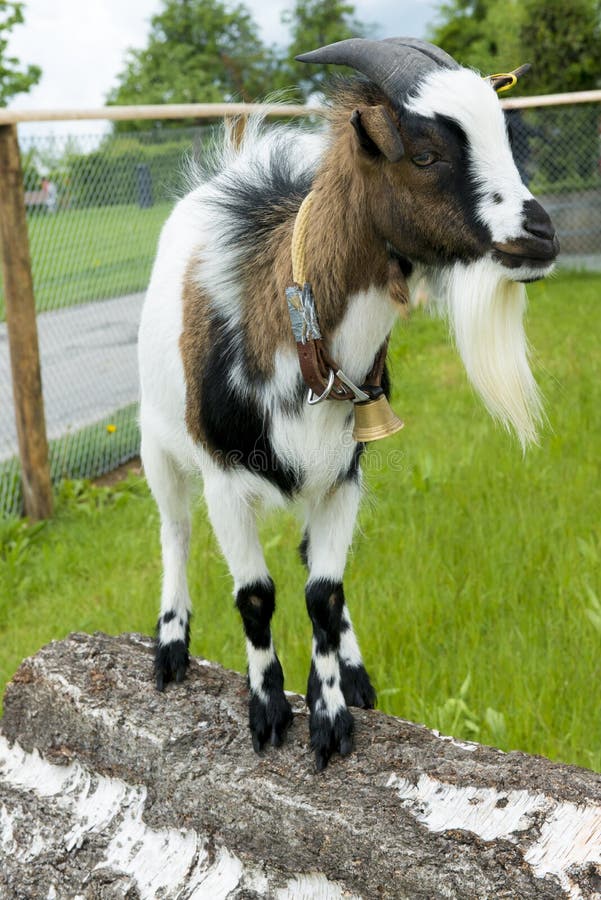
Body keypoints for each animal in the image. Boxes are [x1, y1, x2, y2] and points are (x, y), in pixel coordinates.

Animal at [138, 37, 559, 769]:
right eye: (424, 155)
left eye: (502, 135)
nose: (540, 235)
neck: (298, 339)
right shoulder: (224, 479)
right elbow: (255, 595)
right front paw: (267, 711)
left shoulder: (344, 475)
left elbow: (323, 596)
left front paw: (331, 710)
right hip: (154, 440)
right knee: (175, 530)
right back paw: (170, 645)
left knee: (311, 561)